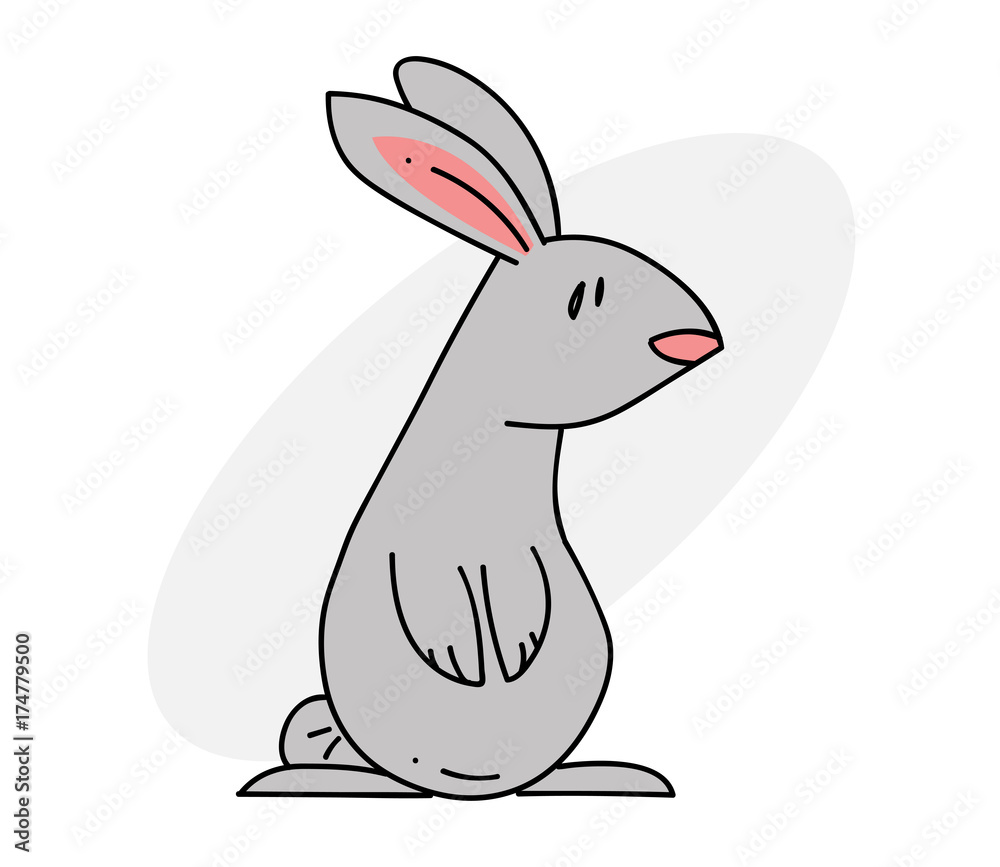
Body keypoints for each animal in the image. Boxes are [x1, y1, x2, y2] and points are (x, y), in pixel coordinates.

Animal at [239, 57, 722, 800]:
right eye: (586, 298)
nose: (699, 337)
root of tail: (472, 789)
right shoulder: (416, 548)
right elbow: (434, 596)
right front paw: (466, 657)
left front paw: (512, 649)